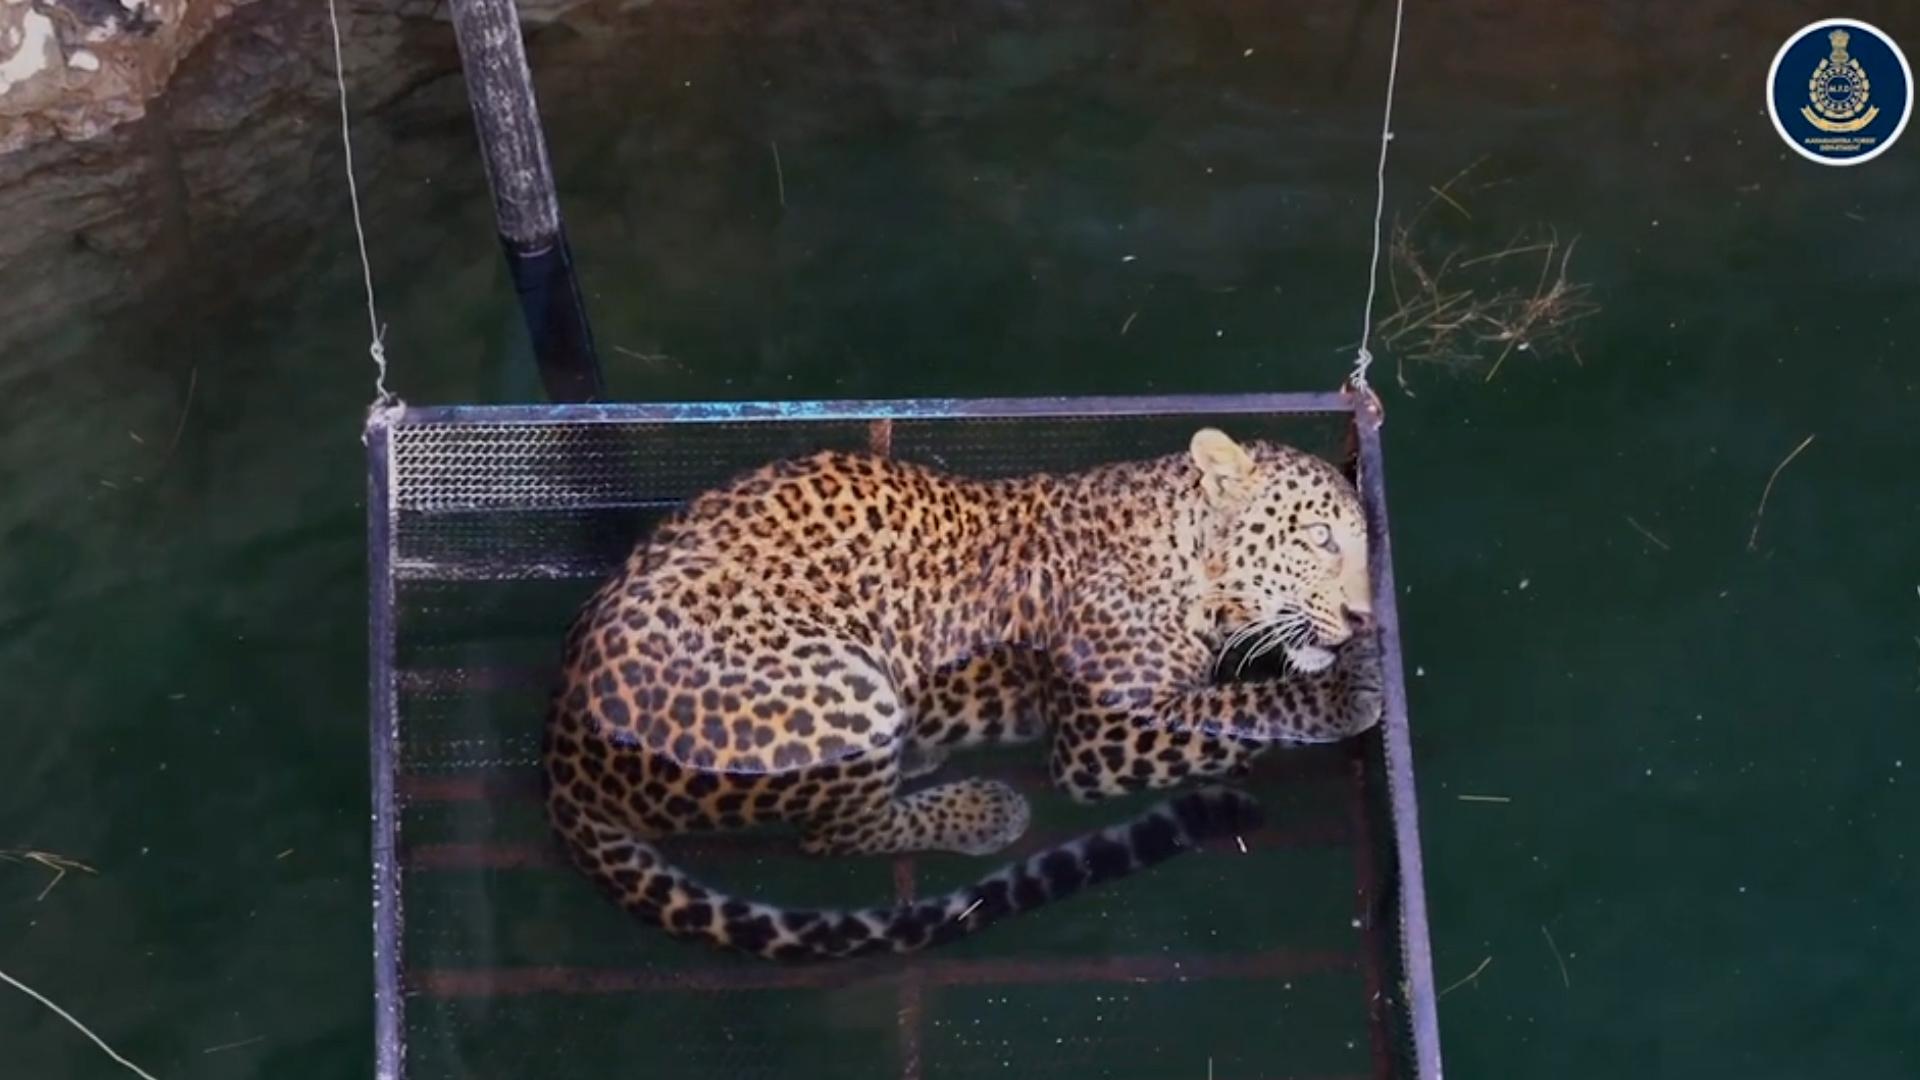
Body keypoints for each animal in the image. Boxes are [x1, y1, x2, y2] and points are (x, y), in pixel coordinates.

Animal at [540, 426, 1386, 962]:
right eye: (1319, 539)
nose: (1364, 614)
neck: (1189, 556)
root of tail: (562, 747)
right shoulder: (1103, 736)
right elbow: (1235, 710)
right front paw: (1347, 690)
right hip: (843, 687)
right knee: (833, 831)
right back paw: (980, 809)